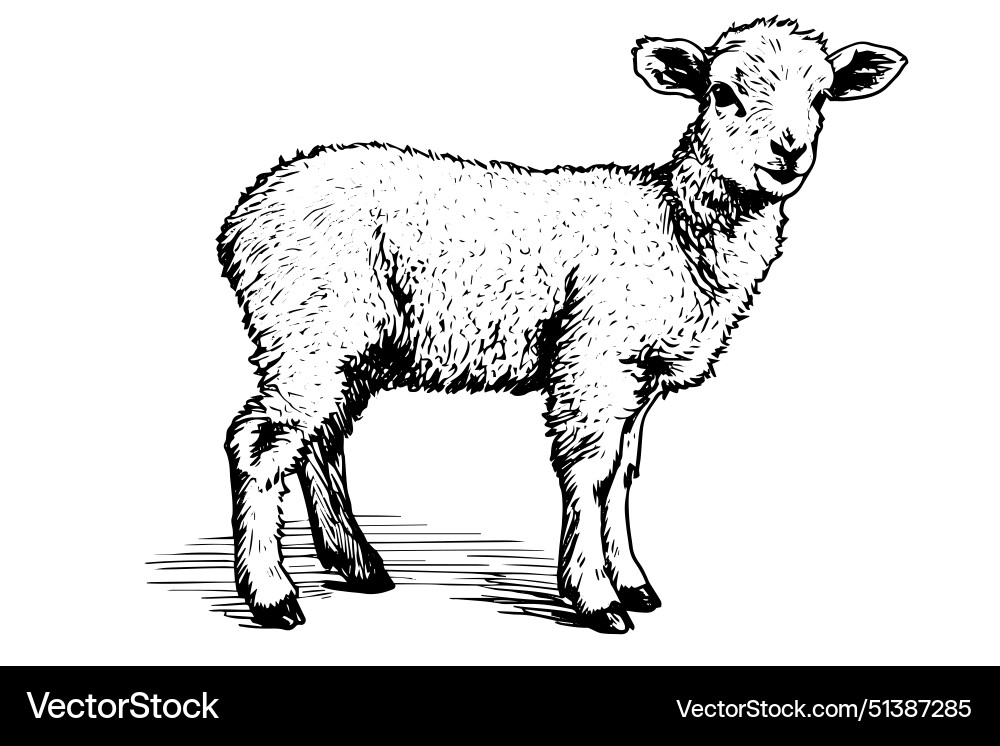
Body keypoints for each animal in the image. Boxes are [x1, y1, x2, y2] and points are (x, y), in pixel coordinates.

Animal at [217, 18, 906, 633]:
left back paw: (357, 564)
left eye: (820, 96)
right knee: (259, 442)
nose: (787, 154)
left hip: (357, 344)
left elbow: (622, 476)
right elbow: (590, 472)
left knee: (321, 441)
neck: (677, 224)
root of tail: (247, 212)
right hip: (311, 326)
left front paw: (633, 583)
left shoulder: (641, 374)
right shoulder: (596, 358)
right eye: (721, 93)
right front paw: (596, 599)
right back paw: (273, 596)